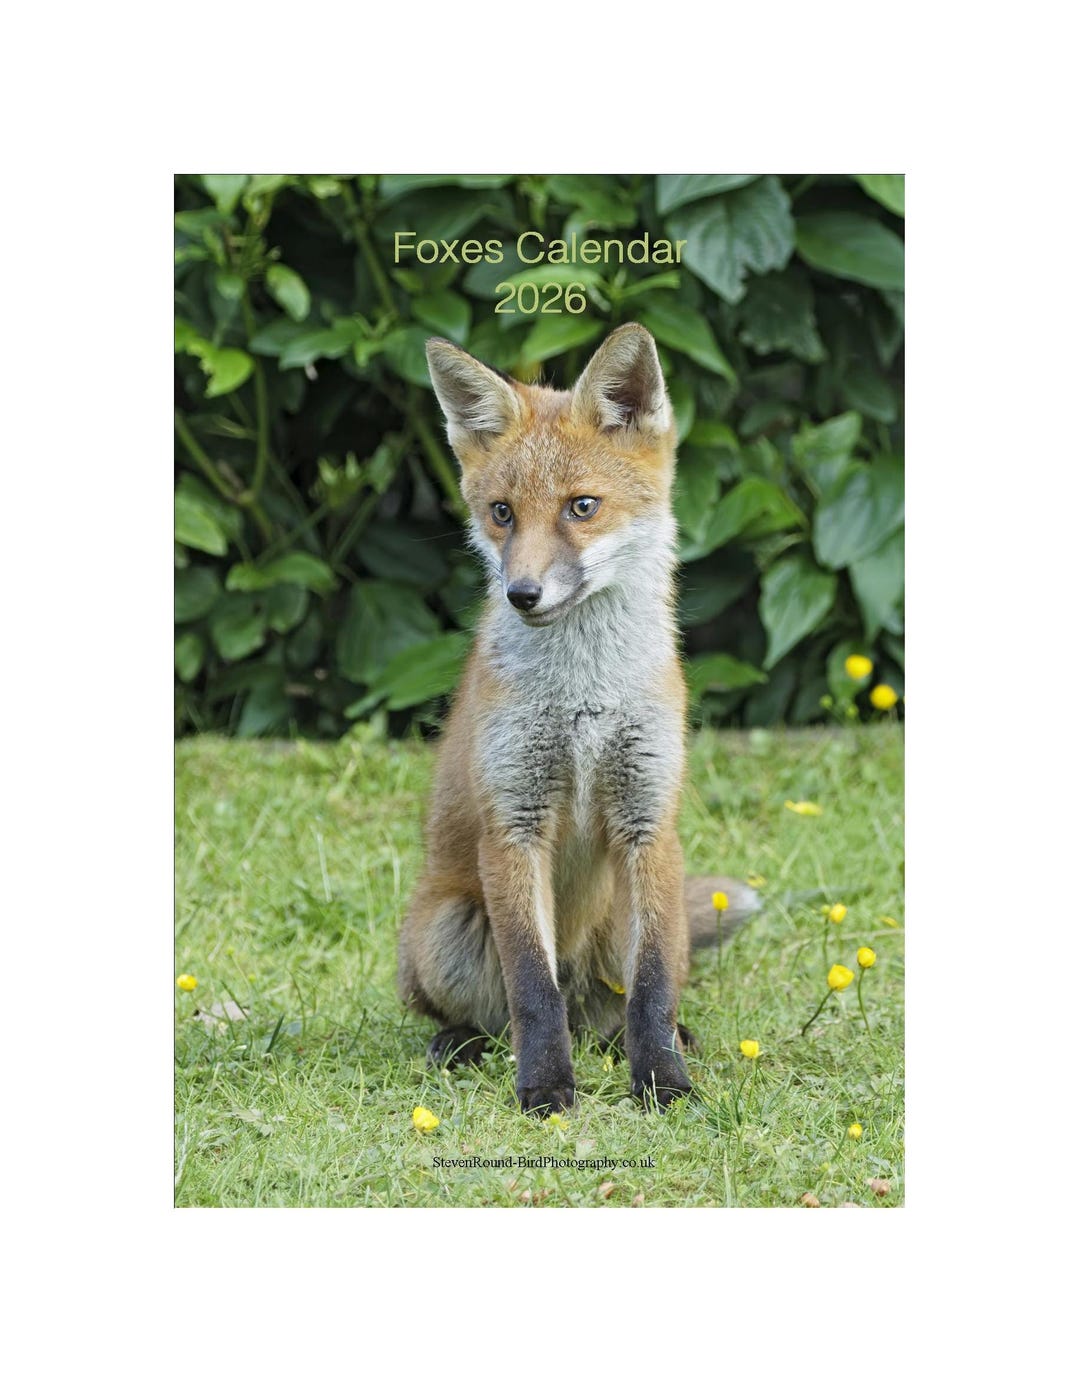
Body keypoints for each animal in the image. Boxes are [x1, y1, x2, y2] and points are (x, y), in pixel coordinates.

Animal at [397, 322, 758, 1114]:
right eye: (502, 512)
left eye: (581, 507)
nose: (522, 594)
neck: (582, 697)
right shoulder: (514, 821)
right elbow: (534, 989)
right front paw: (544, 1088)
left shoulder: (647, 818)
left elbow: (650, 989)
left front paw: (661, 1080)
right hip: (445, 928)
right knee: (496, 1011)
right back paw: (460, 1044)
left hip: (634, 918)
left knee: (619, 1002)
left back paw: (646, 1039)